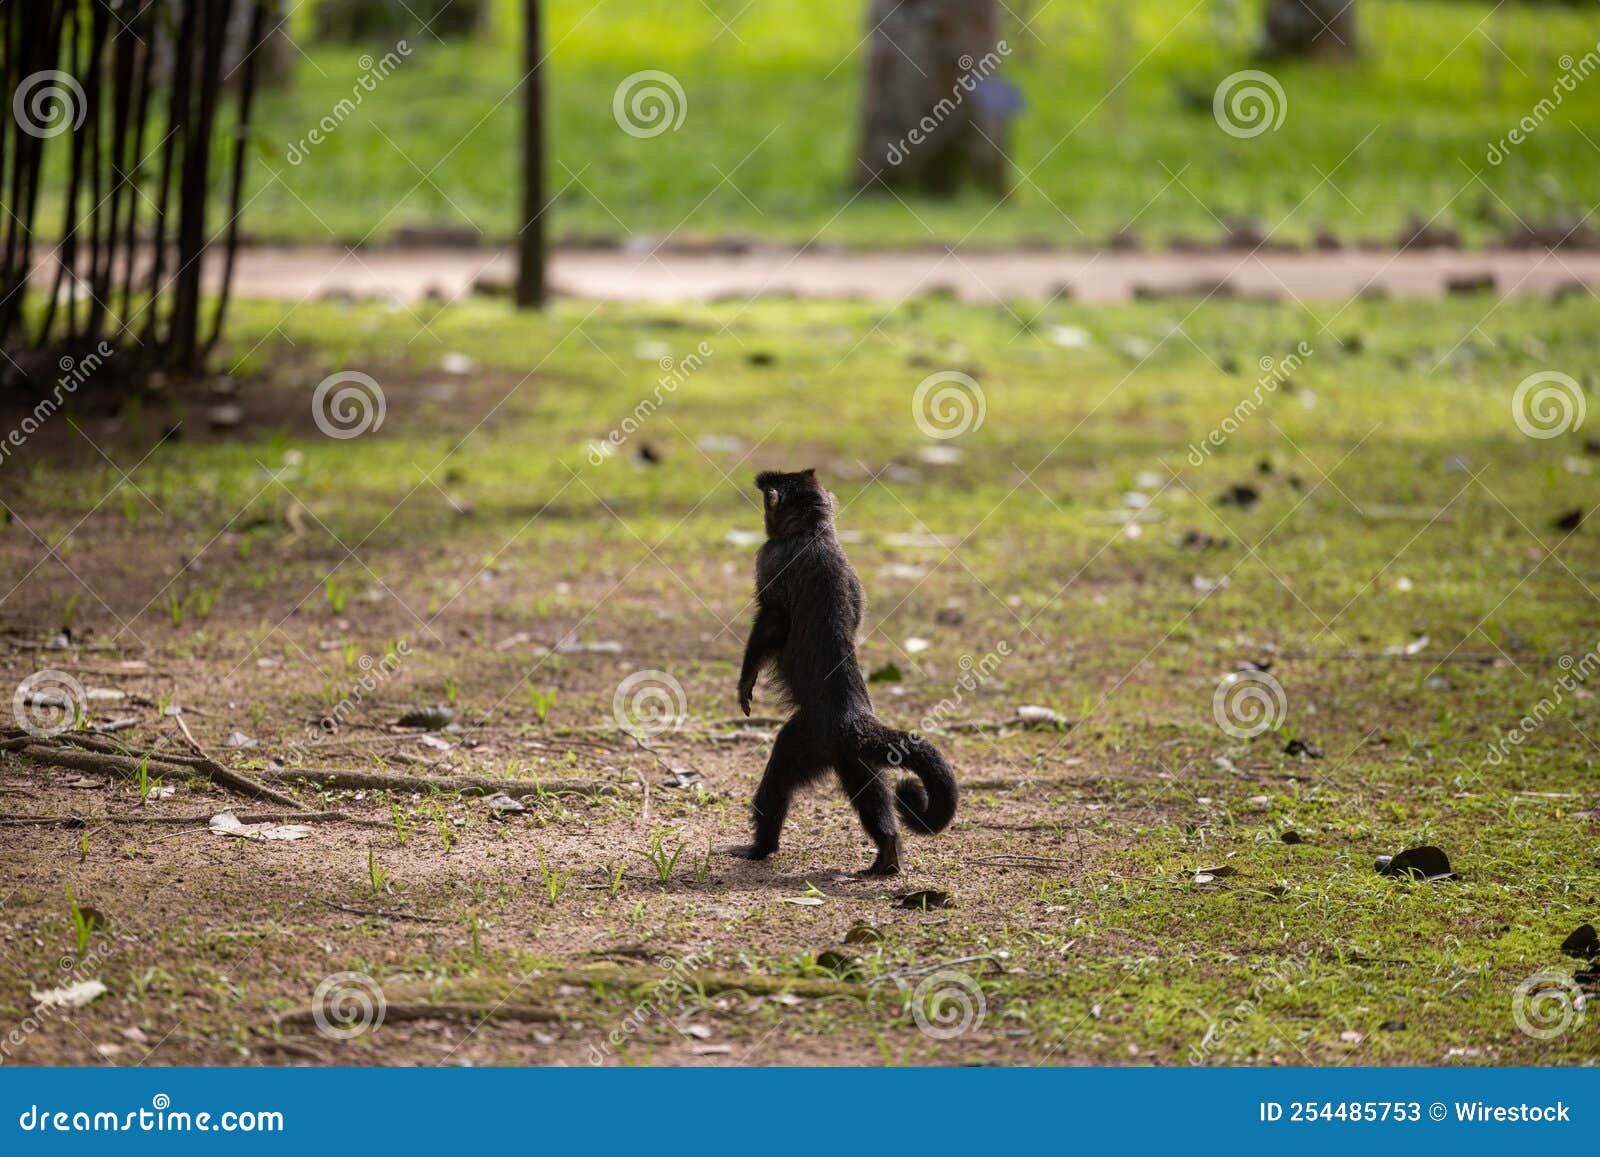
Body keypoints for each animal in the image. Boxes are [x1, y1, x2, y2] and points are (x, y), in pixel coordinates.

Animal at [721, 469, 958, 876]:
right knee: (870, 789)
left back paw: (760, 847)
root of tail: (855, 718)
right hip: (852, 754)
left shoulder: (772, 557)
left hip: (815, 738)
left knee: (779, 774)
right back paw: (888, 847)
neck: (813, 532)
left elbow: (772, 620)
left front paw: (745, 682)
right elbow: (857, 610)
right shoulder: (849, 568)